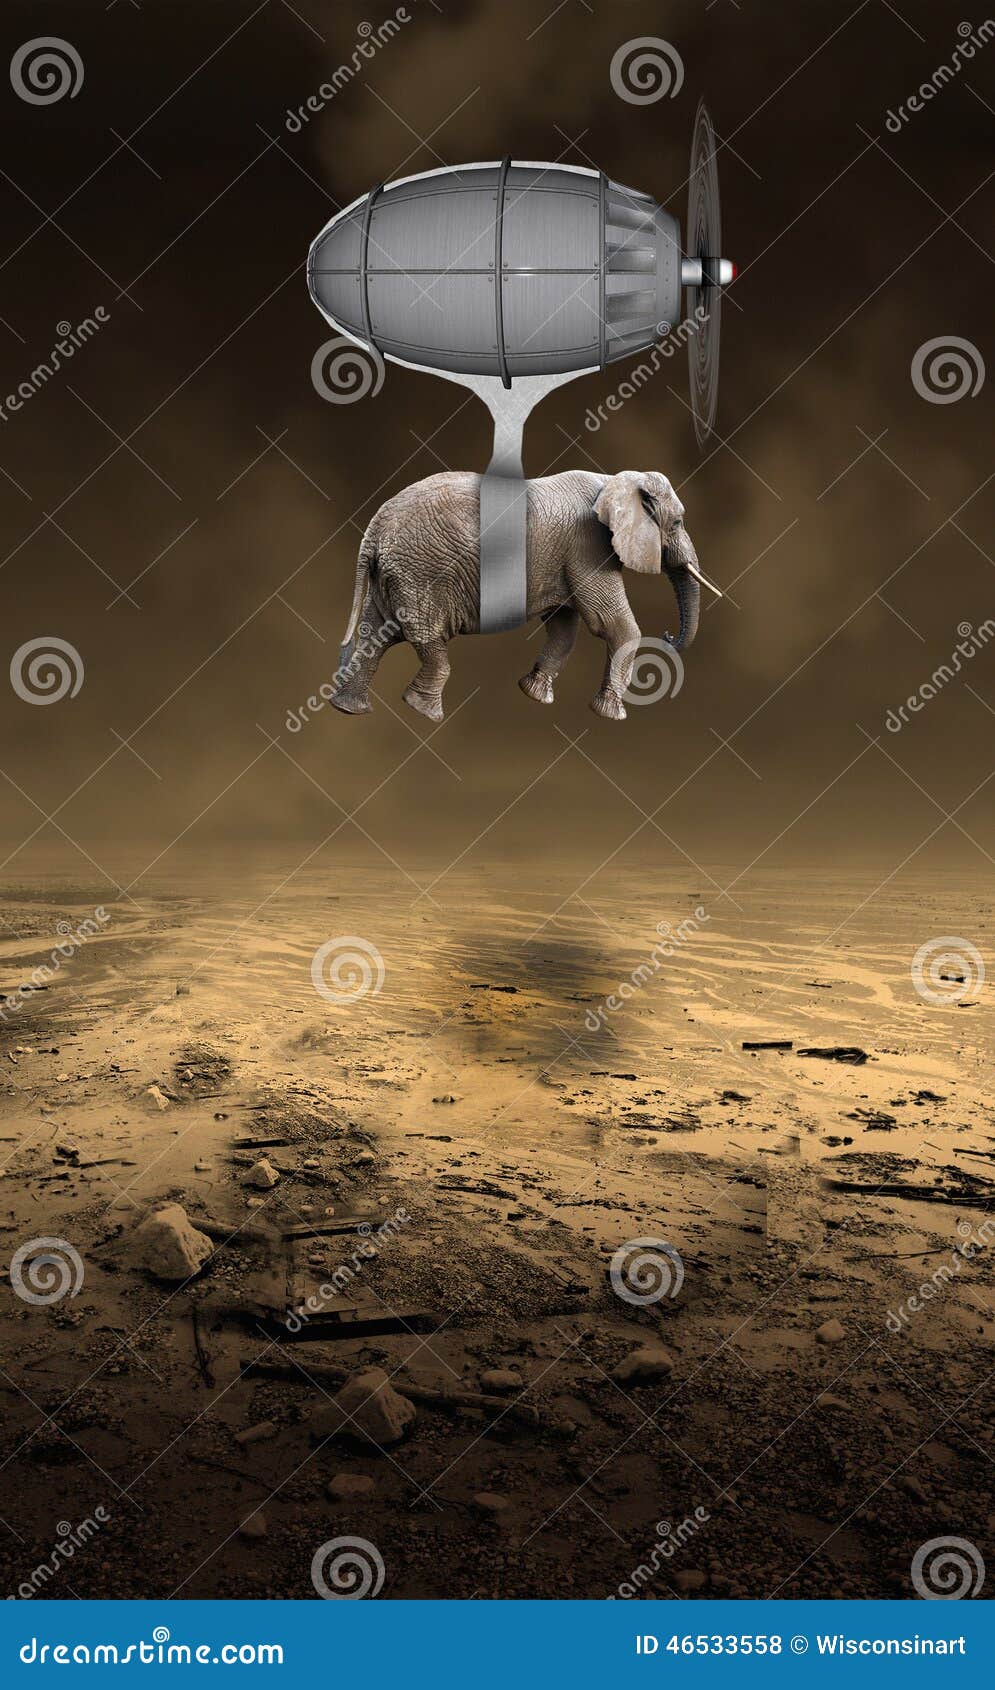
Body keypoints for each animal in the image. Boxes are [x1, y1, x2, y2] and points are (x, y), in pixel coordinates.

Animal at [331, 468, 719, 722]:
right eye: (677, 523)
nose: (667, 635)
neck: (613, 480)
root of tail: (375, 530)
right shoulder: (587, 547)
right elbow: (611, 624)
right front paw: (611, 714)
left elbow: (564, 625)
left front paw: (533, 693)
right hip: (423, 573)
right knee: (428, 636)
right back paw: (425, 711)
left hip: (392, 574)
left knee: (373, 635)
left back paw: (349, 709)